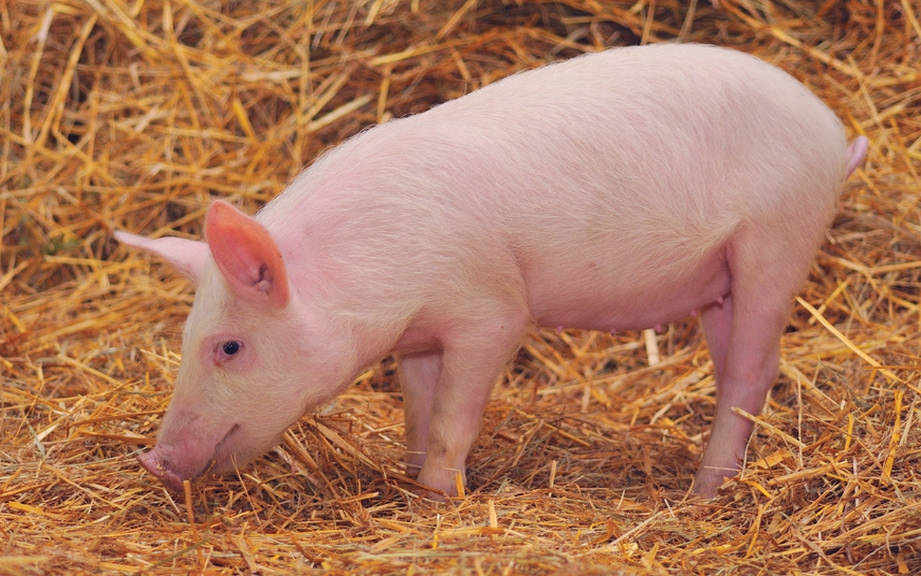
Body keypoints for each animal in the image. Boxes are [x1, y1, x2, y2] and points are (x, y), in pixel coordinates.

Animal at [116, 43, 868, 498]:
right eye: (186, 338)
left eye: (229, 346)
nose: (154, 459)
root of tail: (834, 133)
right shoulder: (418, 339)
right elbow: (417, 407)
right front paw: (408, 472)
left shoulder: (490, 312)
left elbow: (455, 411)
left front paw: (434, 496)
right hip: (719, 285)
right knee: (739, 367)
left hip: (778, 239)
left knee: (753, 367)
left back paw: (703, 493)